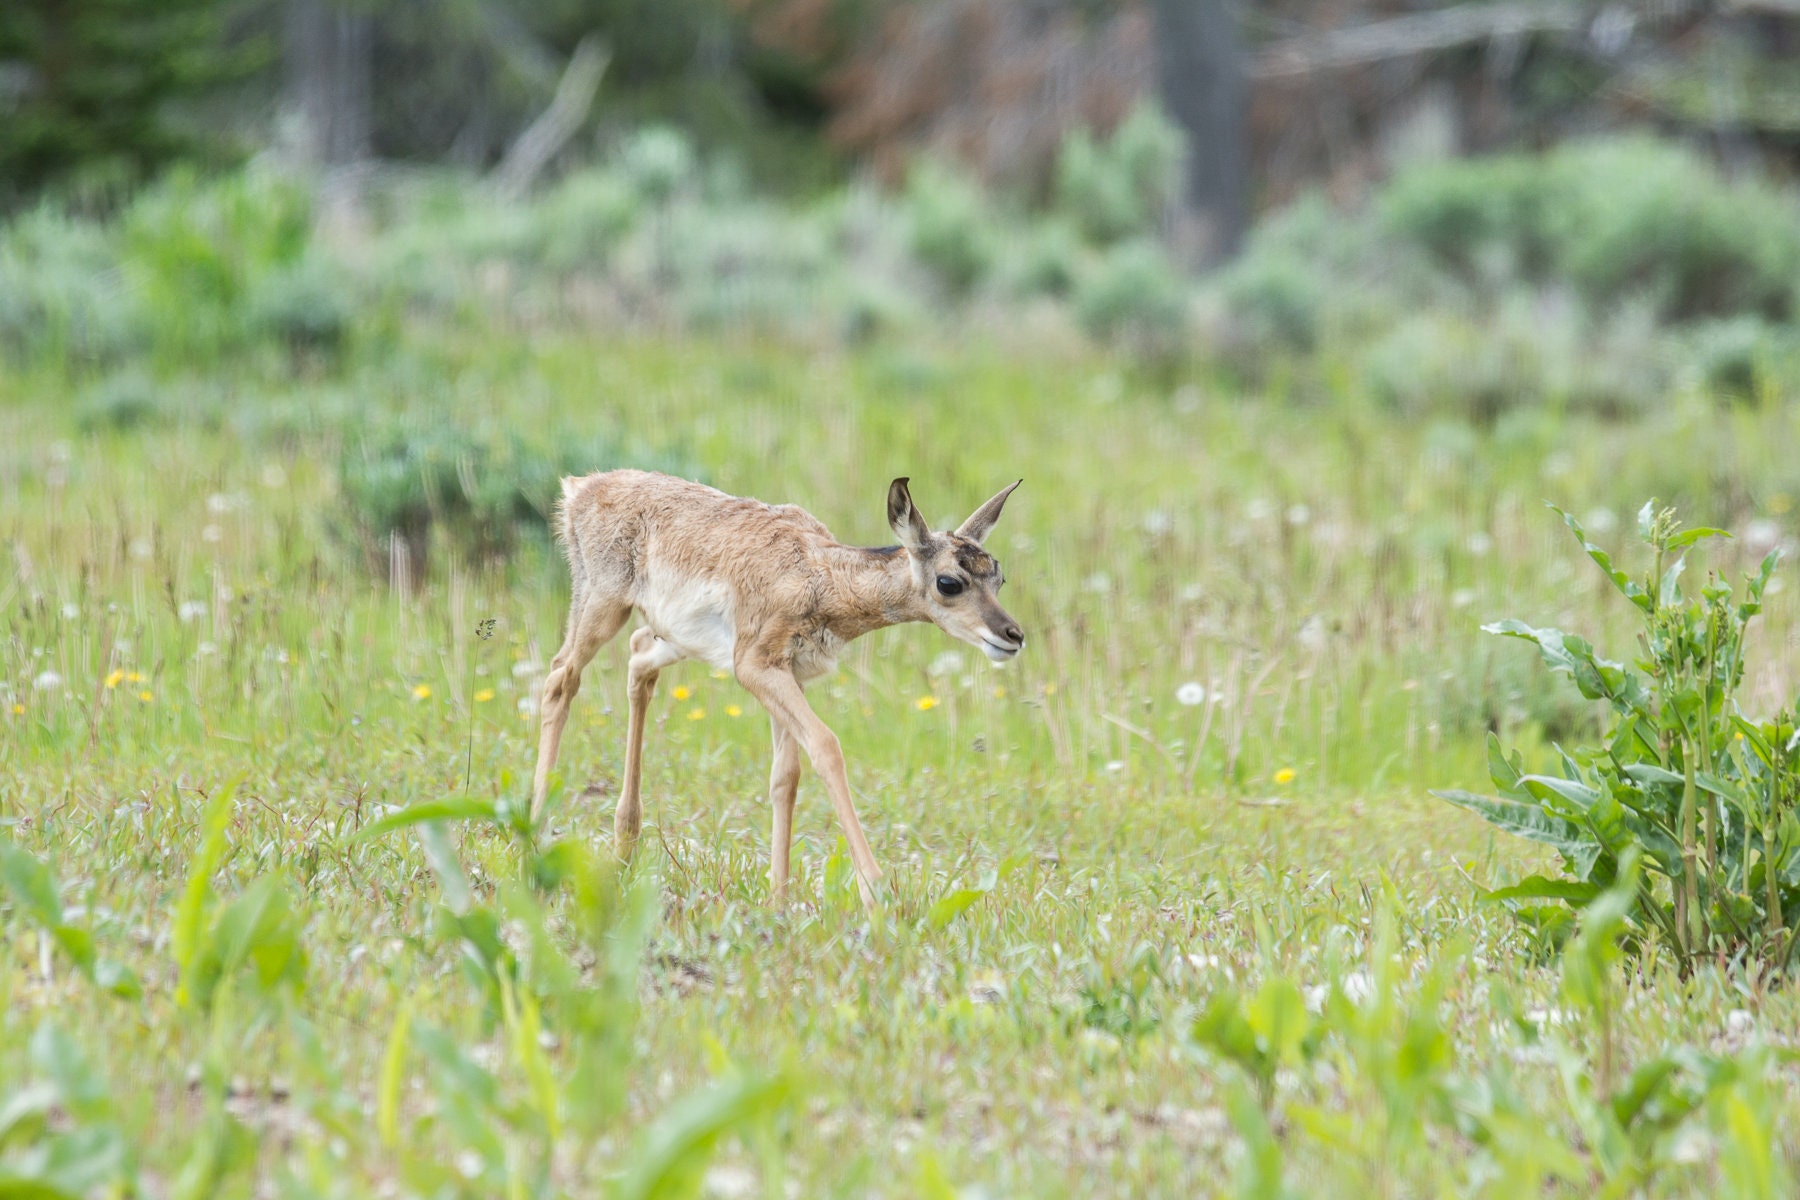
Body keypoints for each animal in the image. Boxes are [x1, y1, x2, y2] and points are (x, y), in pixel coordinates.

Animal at [530, 469, 1024, 906]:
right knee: (559, 679)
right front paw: (876, 892)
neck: (819, 573)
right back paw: (533, 833)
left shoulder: (791, 677)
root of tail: (583, 488)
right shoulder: (756, 669)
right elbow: (826, 747)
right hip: (603, 607)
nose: (1013, 636)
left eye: (998, 576)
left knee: (636, 661)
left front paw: (779, 897)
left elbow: (786, 776)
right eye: (949, 582)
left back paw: (625, 842)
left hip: (670, 640)